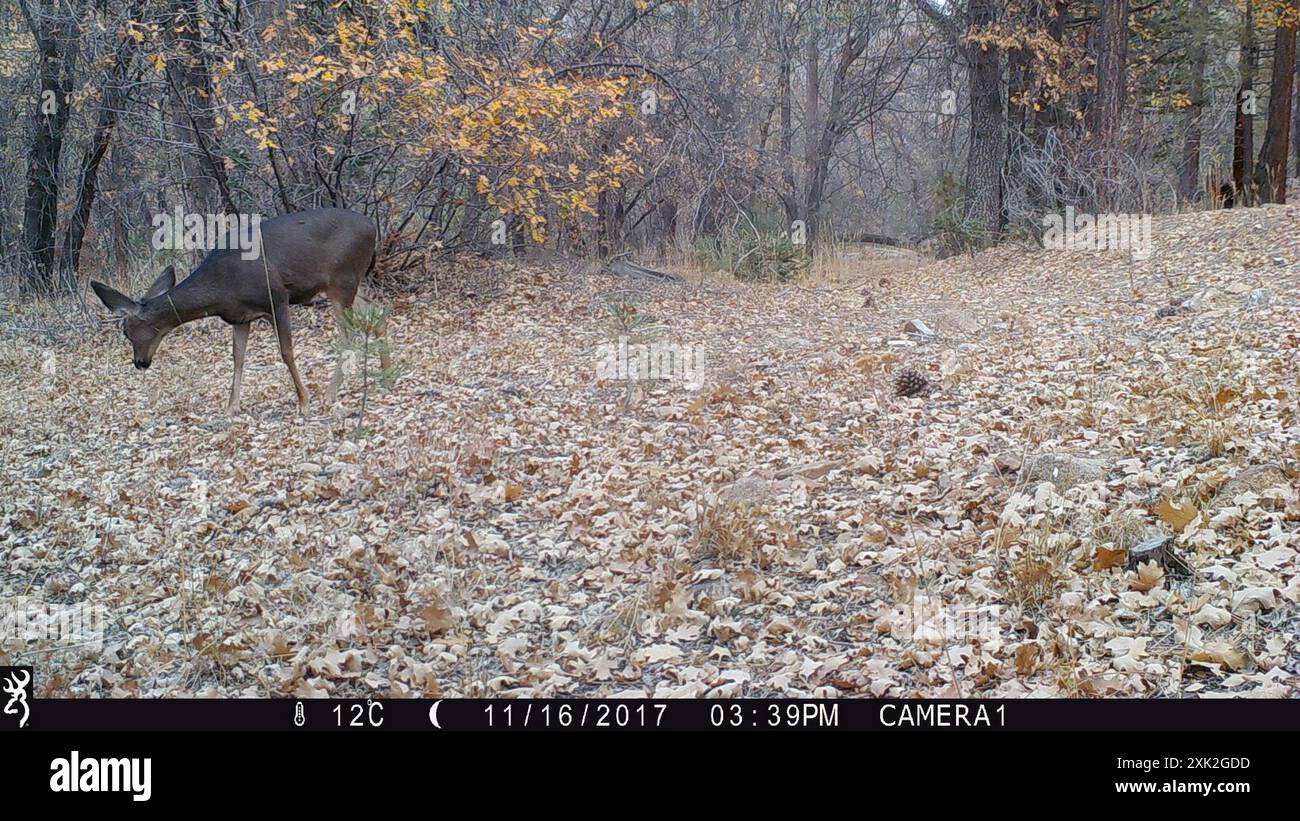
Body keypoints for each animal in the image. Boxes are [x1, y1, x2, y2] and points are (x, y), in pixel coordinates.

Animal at [91, 208, 390, 413]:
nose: (139, 362)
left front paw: (303, 400)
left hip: (342, 278)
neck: (221, 288)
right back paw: (386, 371)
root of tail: (372, 227)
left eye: (127, 331)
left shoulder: (277, 298)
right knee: (377, 312)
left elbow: (286, 351)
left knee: (348, 334)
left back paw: (330, 394)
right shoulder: (239, 317)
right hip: (352, 282)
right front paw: (231, 406)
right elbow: (237, 357)